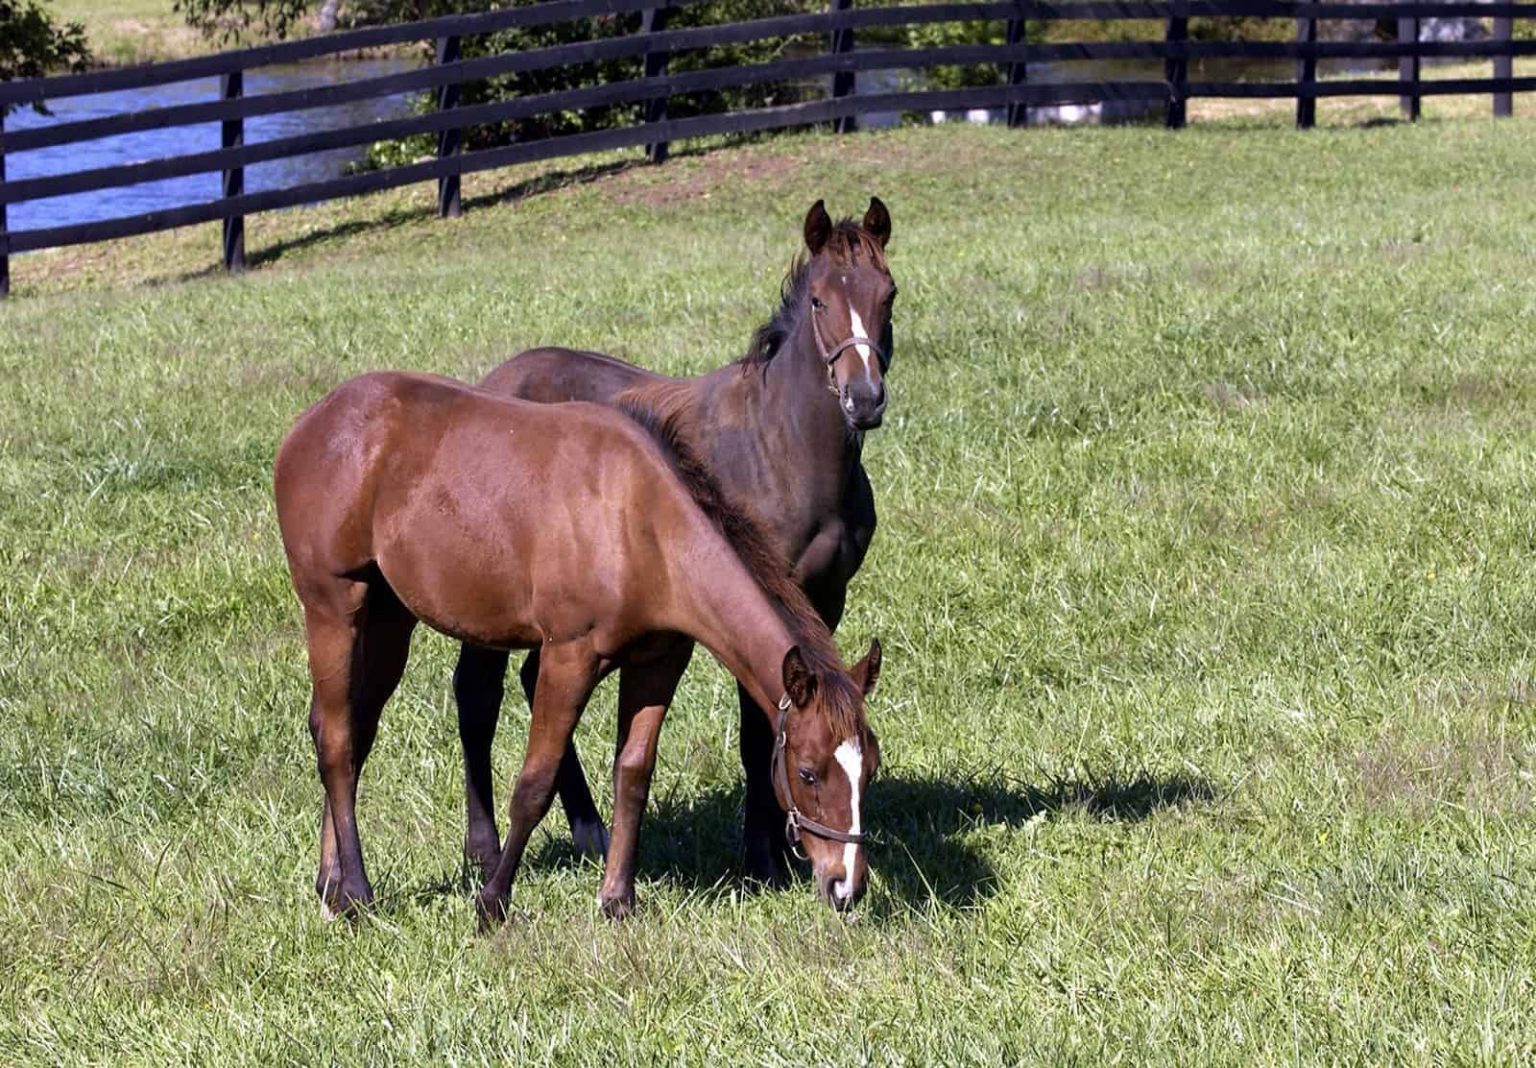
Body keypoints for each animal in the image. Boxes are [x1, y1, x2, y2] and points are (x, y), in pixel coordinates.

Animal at [274, 371, 882, 924]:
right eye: (807, 772)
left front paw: (617, 899)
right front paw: (492, 903)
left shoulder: (659, 662)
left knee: (353, 731)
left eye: (870, 770)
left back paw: (330, 883)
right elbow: (534, 783)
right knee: (337, 739)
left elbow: (633, 773)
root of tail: (312, 423)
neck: (641, 524)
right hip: (333, 607)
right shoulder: (569, 656)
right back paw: (356, 894)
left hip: (387, 617)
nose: (846, 887)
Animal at [453, 197, 896, 884]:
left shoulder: (826, 597)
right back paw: (485, 846)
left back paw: (588, 828)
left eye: (888, 295)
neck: (782, 450)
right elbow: (757, 733)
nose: (865, 398)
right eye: (821, 300)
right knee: (477, 695)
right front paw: (762, 856)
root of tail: (492, 383)